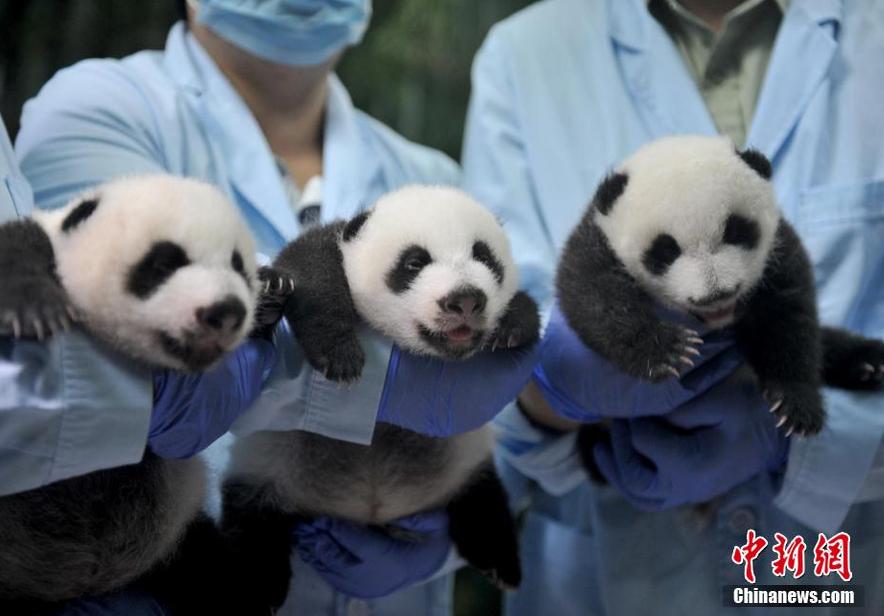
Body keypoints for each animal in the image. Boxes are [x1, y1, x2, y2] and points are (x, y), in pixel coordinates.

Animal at [0, 175, 264, 614]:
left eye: (238, 266)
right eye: (165, 262)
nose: (225, 313)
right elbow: (18, 247)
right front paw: (32, 308)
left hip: (177, 533)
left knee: (214, 574)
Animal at [222, 185, 540, 611]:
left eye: (484, 256)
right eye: (415, 262)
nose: (465, 300)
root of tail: (368, 512)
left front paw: (511, 325)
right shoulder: (336, 245)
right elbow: (312, 268)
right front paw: (339, 354)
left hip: (464, 466)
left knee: (483, 501)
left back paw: (501, 563)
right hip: (265, 471)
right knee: (251, 530)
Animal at [556, 135, 884, 475]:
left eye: (736, 230)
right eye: (665, 250)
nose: (716, 294)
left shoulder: (778, 249)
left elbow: (789, 318)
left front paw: (796, 404)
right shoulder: (597, 239)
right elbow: (592, 293)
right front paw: (667, 350)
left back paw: (869, 362)